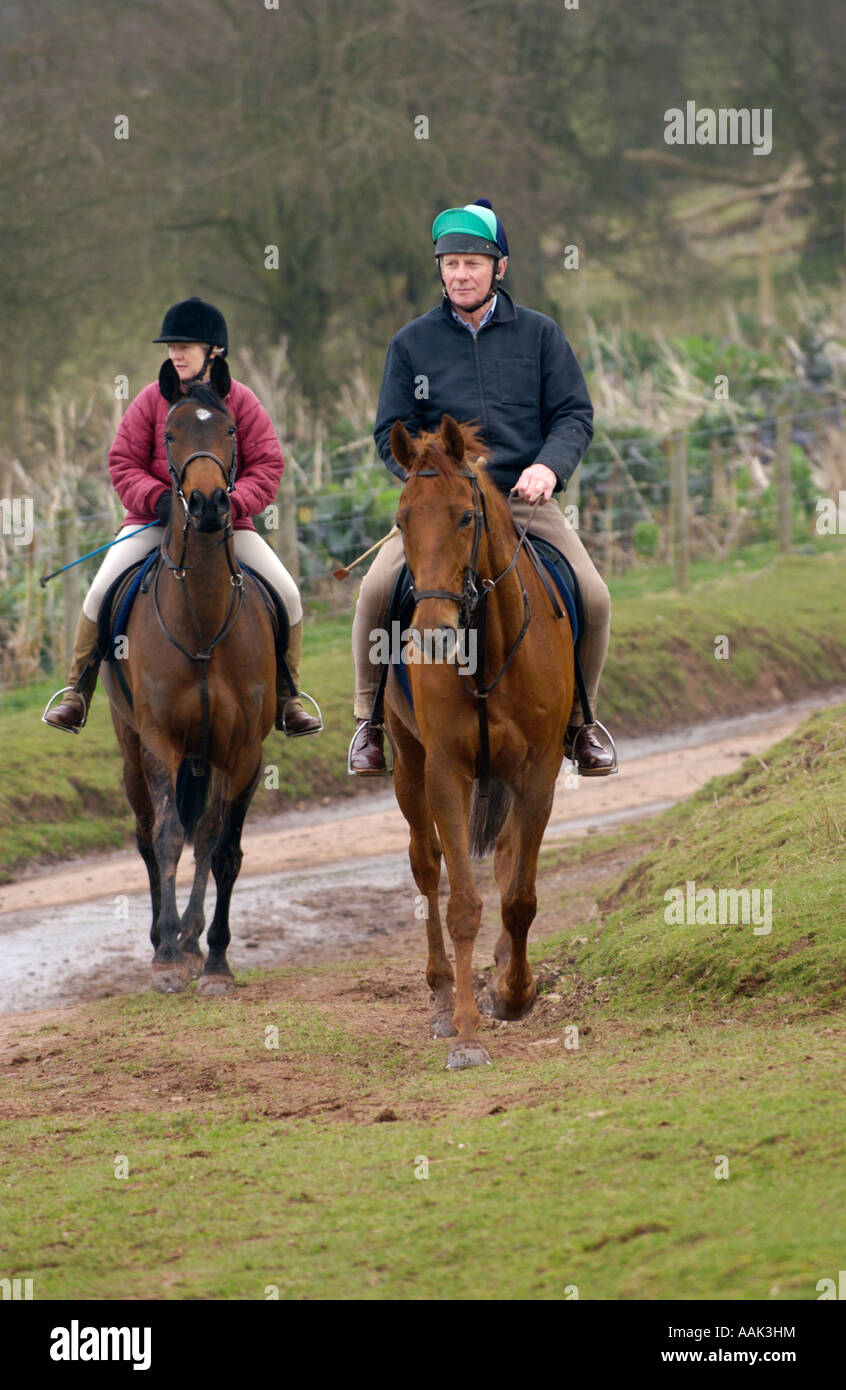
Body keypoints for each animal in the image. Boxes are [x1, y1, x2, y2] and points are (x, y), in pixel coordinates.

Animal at [100, 383, 277, 996]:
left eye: (230, 430)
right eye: (169, 434)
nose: (207, 505)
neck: (202, 616)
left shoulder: (244, 751)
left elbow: (223, 849)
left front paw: (216, 960)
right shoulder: (160, 743)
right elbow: (168, 837)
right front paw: (169, 959)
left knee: (206, 832)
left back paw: (195, 937)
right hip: (131, 749)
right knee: (147, 834)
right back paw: (165, 937)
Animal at [385, 414, 574, 1069]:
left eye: (465, 517)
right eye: (401, 520)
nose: (430, 637)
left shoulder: (539, 771)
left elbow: (519, 896)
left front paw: (514, 994)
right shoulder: (447, 770)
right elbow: (462, 903)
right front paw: (468, 1032)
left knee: (512, 855)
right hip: (407, 765)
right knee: (426, 865)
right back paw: (444, 998)